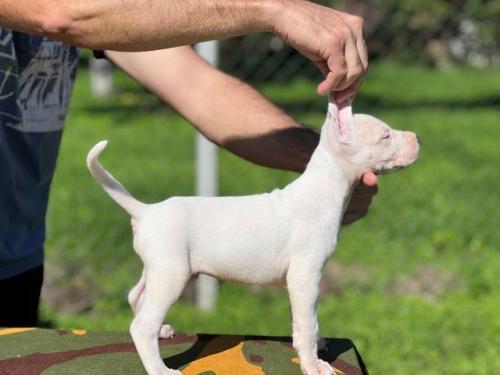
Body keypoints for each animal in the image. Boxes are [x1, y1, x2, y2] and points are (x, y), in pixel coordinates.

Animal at [88, 98, 420, 374]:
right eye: (385, 135)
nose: (418, 138)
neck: (324, 188)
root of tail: (147, 211)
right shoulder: (305, 275)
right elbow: (307, 322)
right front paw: (313, 364)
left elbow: (307, 321)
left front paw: (319, 345)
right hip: (172, 274)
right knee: (141, 325)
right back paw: (160, 368)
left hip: (159, 268)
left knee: (136, 296)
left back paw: (162, 330)